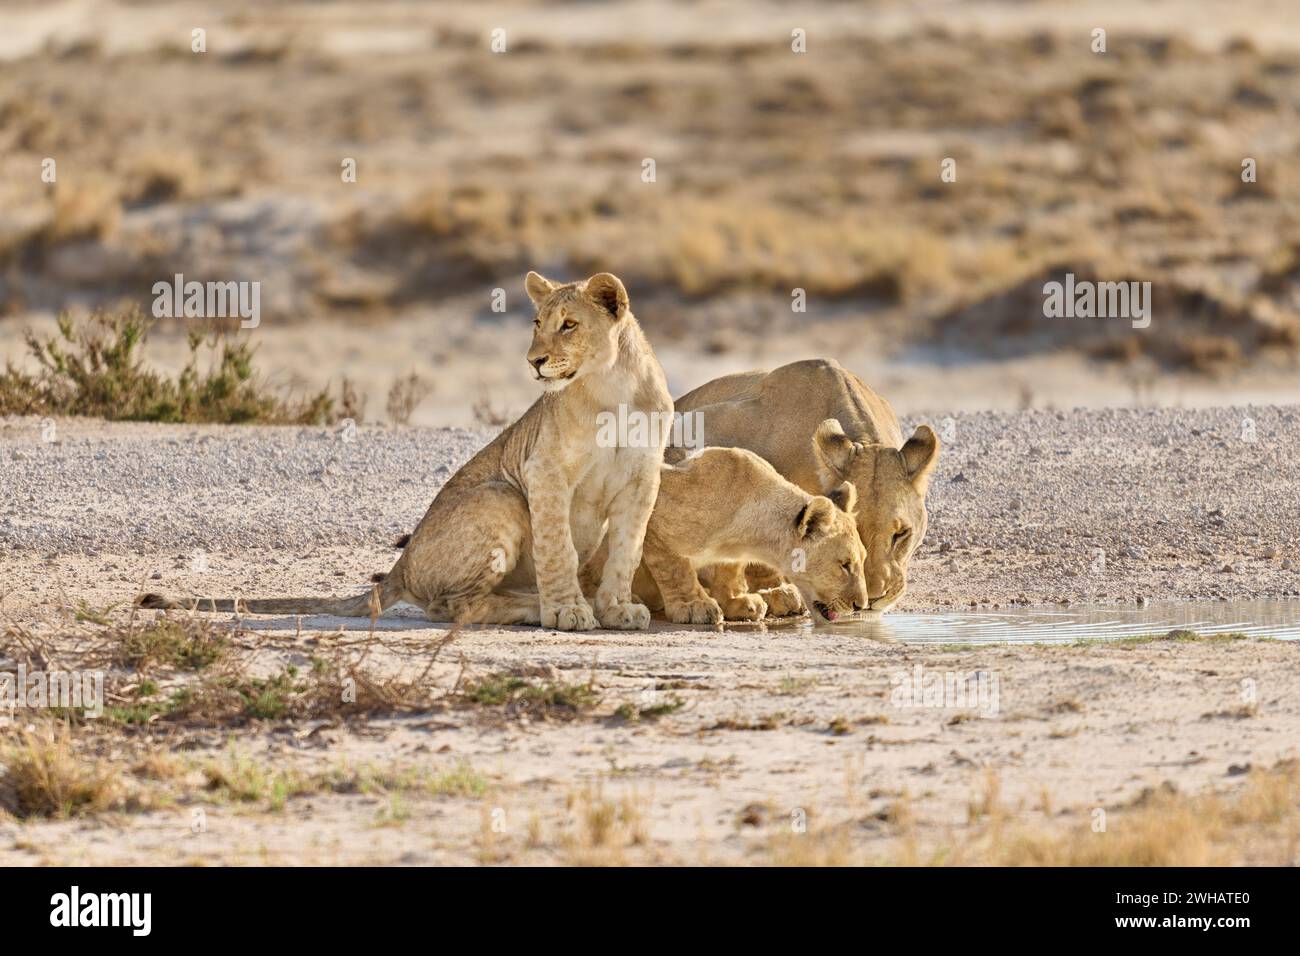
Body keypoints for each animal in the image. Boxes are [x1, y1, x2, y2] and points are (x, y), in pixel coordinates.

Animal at [139, 271, 673, 631]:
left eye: (569, 325)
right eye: (537, 323)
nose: (534, 361)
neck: (612, 389)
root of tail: (400, 565)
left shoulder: (643, 479)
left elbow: (627, 550)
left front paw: (616, 609)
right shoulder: (543, 469)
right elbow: (558, 547)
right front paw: (567, 610)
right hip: (501, 495)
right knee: (450, 606)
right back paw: (534, 606)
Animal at [582, 447, 868, 625]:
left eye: (862, 560)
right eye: (844, 565)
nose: (861, 605)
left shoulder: (733, 554)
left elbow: (729, 571)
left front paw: (736, 601)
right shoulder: (650, 510)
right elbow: (675, 569)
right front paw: (693, 605)